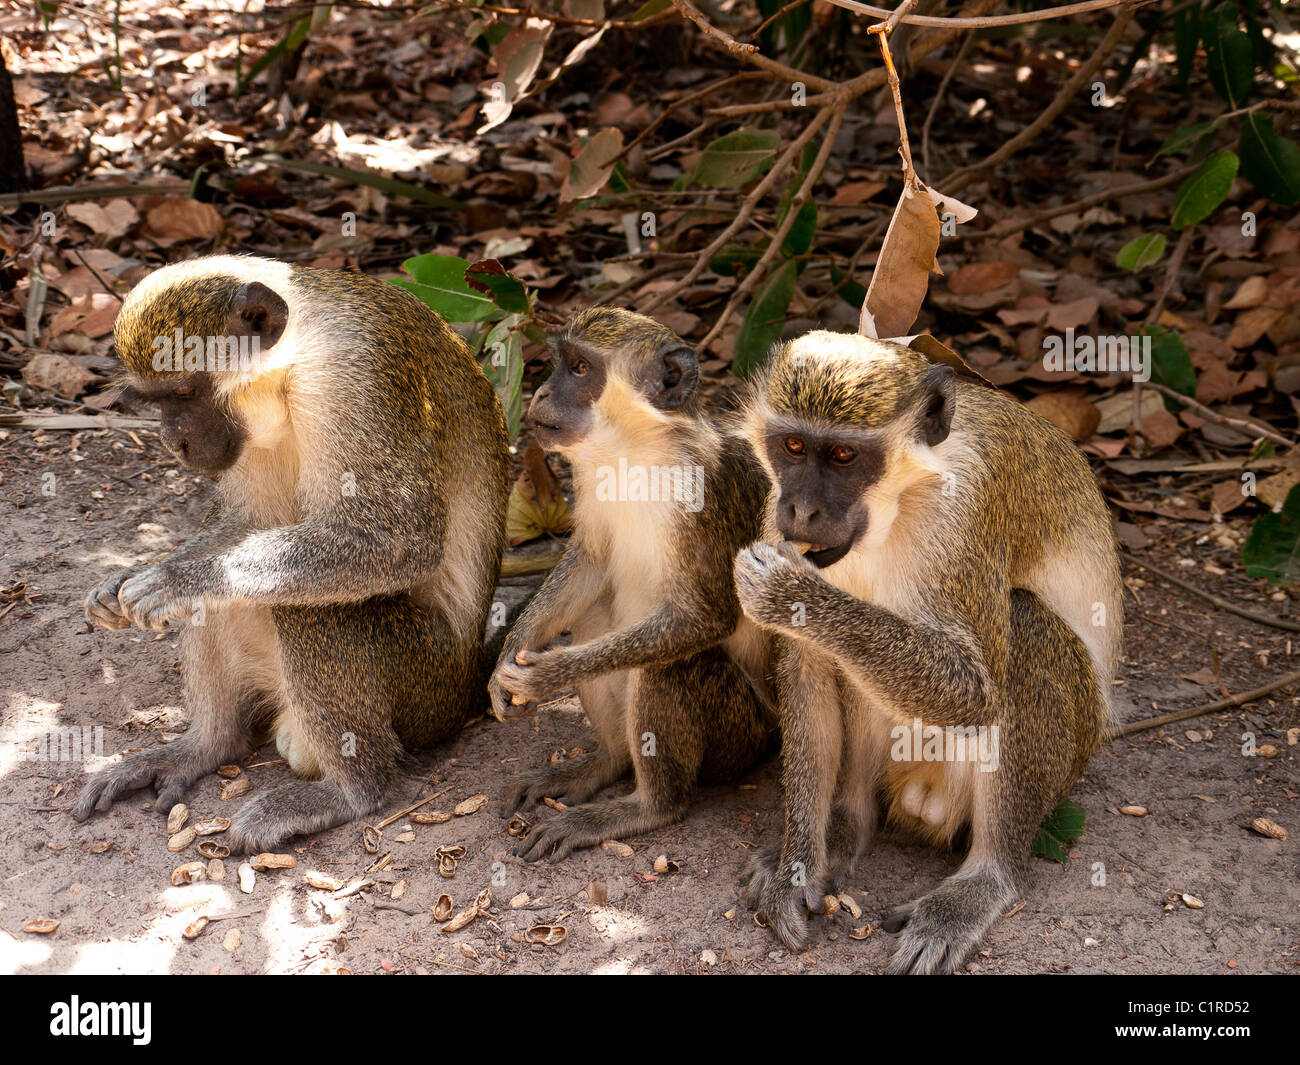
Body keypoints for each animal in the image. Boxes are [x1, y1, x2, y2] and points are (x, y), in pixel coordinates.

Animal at [74, 255, 510, 852]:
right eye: (158, 401)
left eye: (185, 393)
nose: (175, 444)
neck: (295, 359)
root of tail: (465, 685)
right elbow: (248, 524)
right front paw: (136, 577)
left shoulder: (359, 379)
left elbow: (399, 539)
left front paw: (186, 579)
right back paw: (208, 745)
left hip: (425, 682)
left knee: (307, 609)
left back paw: (353, 791)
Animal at [488, 307, 775, 862]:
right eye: (562, 362)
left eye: (580, 368)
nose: (539, 393)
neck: (637, 448)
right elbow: (591, 560)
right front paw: (510, 653)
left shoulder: (705, 487)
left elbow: (705, 617)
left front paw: (548, 674)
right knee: (592, 617)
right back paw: (608, 762)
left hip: (740, 736)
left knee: (668, 664)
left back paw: (647, 806)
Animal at [731, 330, 1121, 974]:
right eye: (793, 446)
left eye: (844, 456)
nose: (803, 510)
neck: (905, 494)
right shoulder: (772, 513)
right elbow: (806, 665)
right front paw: (796, 869)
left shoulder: (971, 508)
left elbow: (975, 690)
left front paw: (789, 592)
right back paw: (840, 828)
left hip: (1070, 752)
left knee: (1024, 622)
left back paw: (984, 881)